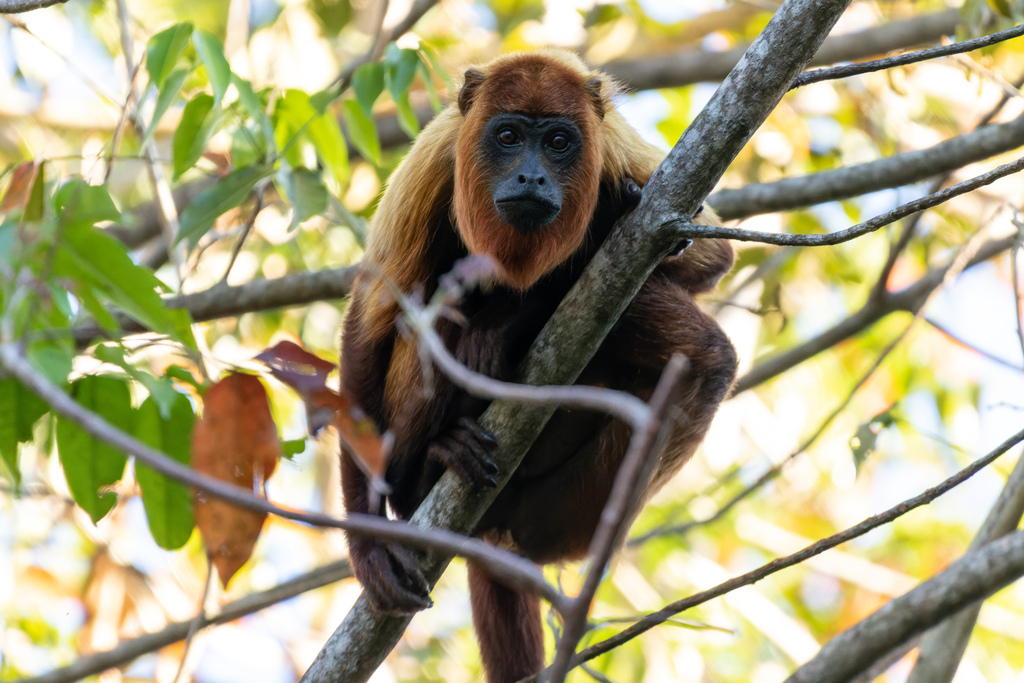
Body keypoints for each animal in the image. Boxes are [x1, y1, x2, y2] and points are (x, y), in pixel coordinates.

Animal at [339, 50, 737, 683]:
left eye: (557, 141)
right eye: (507, 137)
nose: (531, 177)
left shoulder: (616, 150)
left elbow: (707, 258)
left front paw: (504, 321)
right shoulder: (434, 159)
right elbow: (370, 325)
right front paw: (369, 546)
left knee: (702, 352)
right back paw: (433, 462)